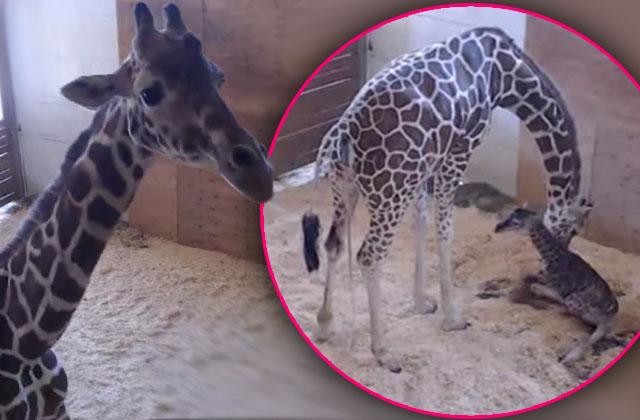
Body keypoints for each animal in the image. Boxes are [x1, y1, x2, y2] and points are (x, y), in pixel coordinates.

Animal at [301, 27, 585, 372]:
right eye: (571, 231)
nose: (561, 267)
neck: (507, 76)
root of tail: (342, 133)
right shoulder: (460, 150)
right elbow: (446, 231)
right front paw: (453, 318)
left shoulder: (428, 164)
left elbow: (422, 221)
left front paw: (422, 302)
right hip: (389, 193)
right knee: (370, 256)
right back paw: (383, 350)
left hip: (346, 188)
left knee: (333, 243)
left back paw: (325, 324)